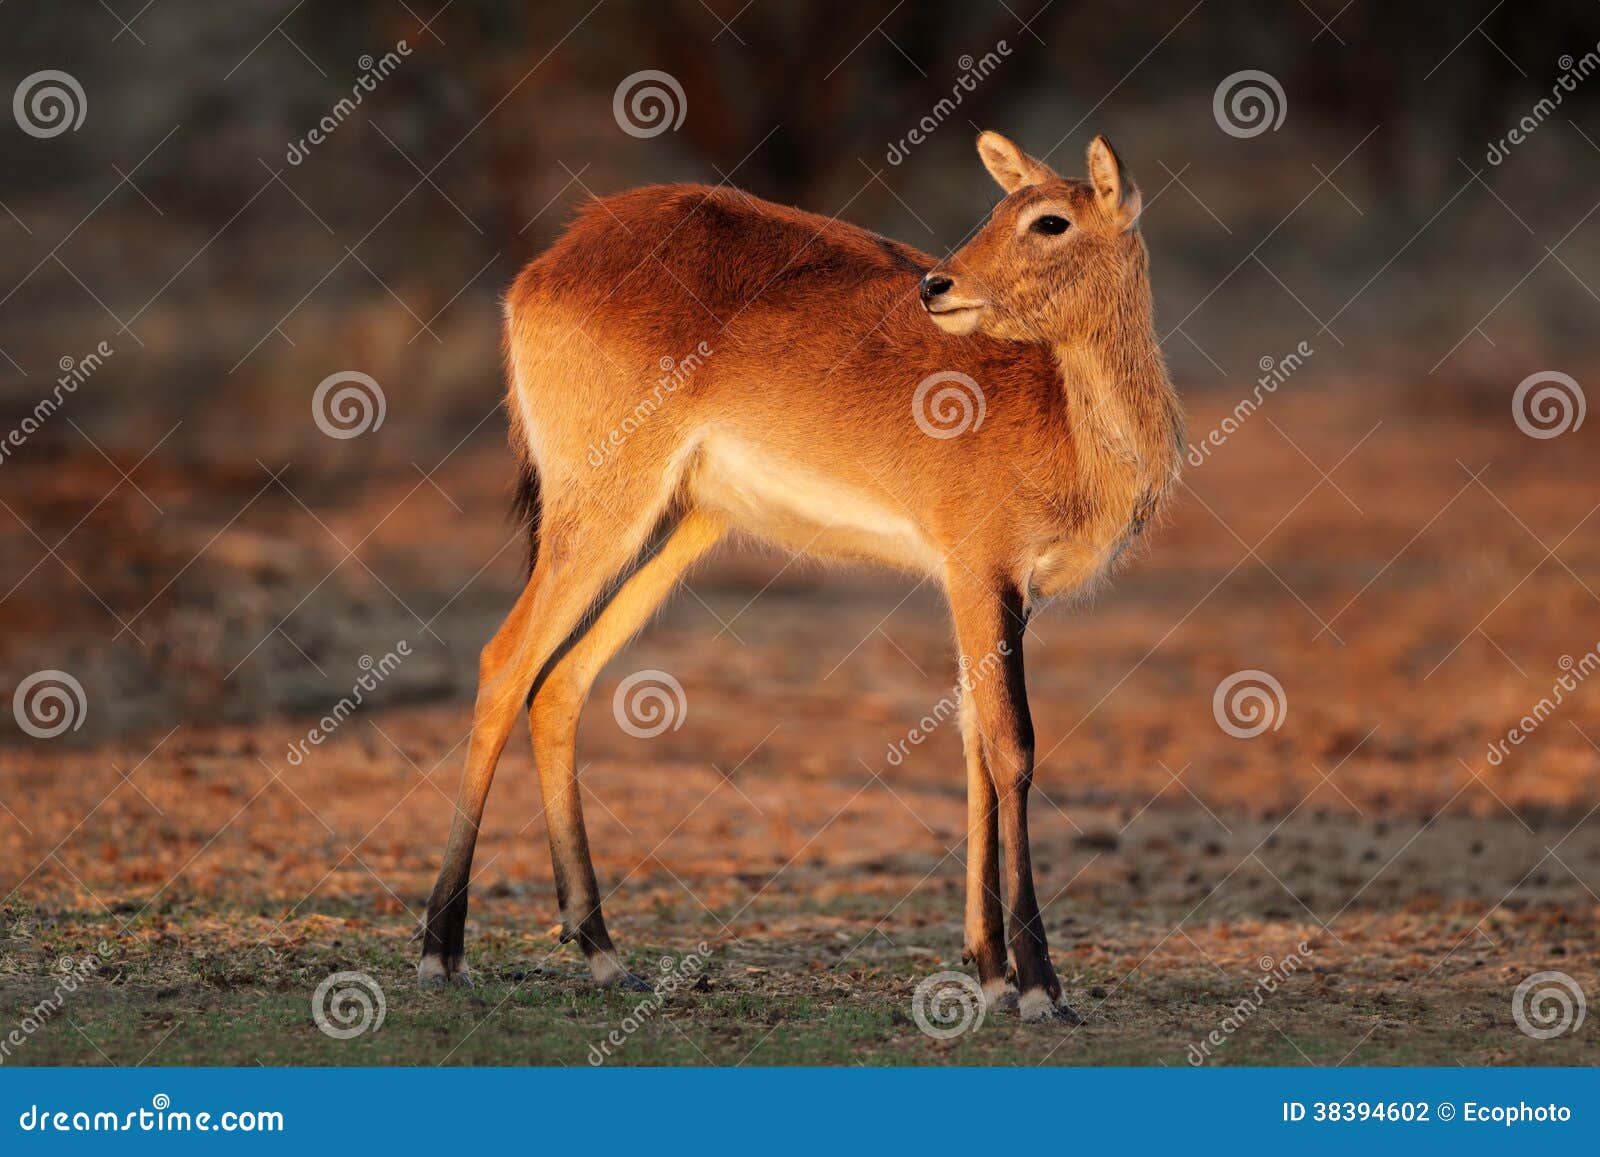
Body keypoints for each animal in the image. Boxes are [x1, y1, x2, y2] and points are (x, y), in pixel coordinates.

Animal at [419, 131, 1183, 1023]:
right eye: (1007, 208)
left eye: (1049, 219)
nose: (938, 285)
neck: (1069, 418)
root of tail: (550, 264)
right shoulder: (979, 572)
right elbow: (1011, 745)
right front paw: (1036, 984)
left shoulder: (996, 591)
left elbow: (970, 743)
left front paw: (990, 968)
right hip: (604, 508)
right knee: (505, 661)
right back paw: (441, 949)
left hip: (677, 523)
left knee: (563, 681)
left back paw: (603, 950)